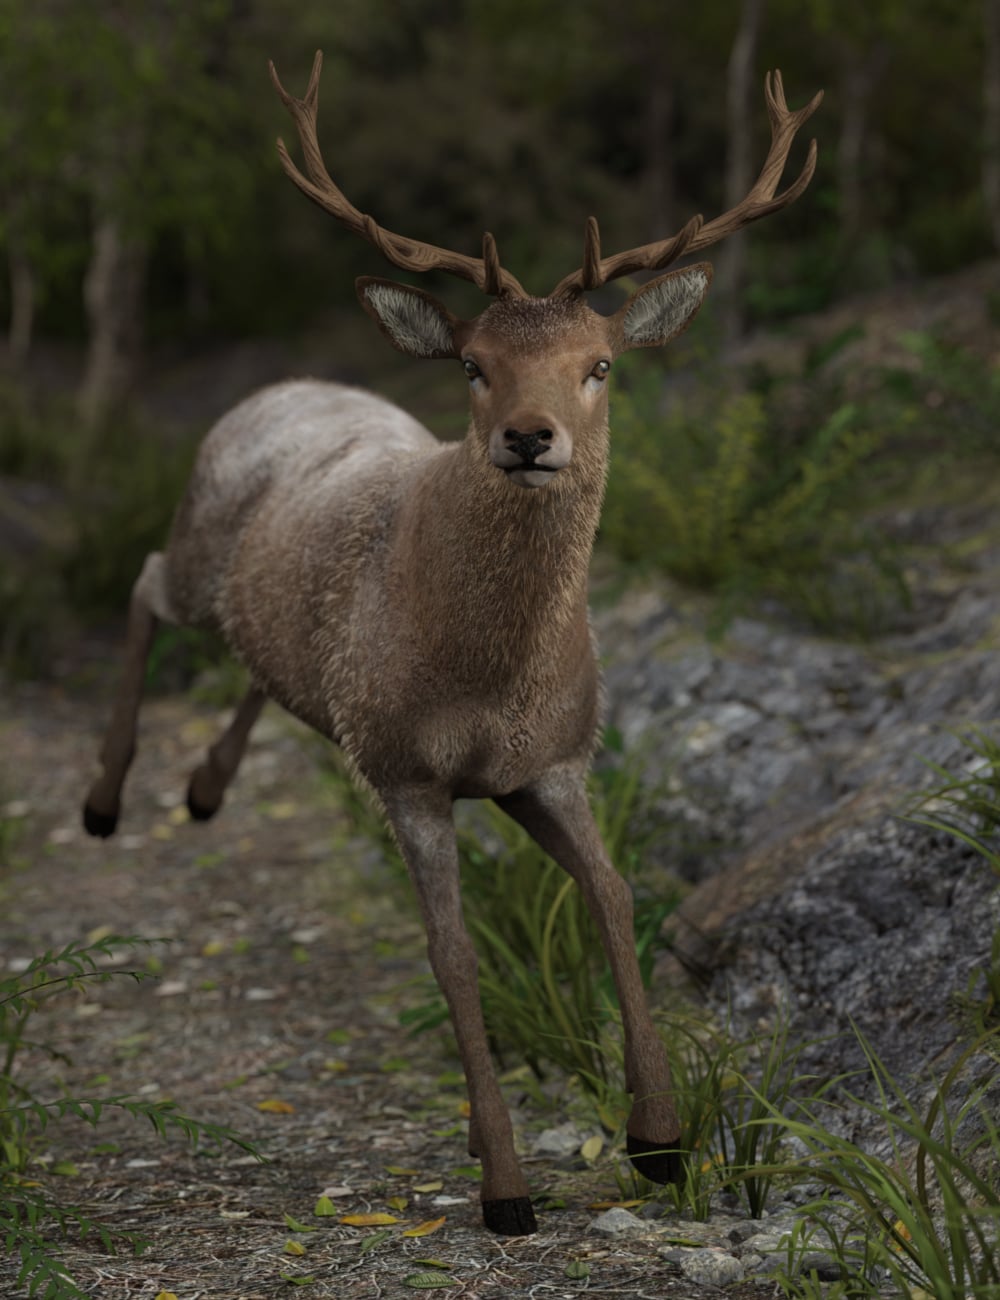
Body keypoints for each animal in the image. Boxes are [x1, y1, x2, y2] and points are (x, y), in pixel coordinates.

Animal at [82, 54, 821, 1236]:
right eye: (474, 364)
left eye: (600, 363)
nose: (529, 436)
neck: (491, 674)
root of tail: (281, 382)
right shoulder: (405, 771)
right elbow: (453, 950)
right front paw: (506, 1186)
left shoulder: (551, 761)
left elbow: (615, 897)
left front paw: (659, 1139)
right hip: (196, 547)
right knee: (147, 581)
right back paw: (107, 799)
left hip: (281, 631)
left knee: (261, 665)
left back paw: (203, 785)